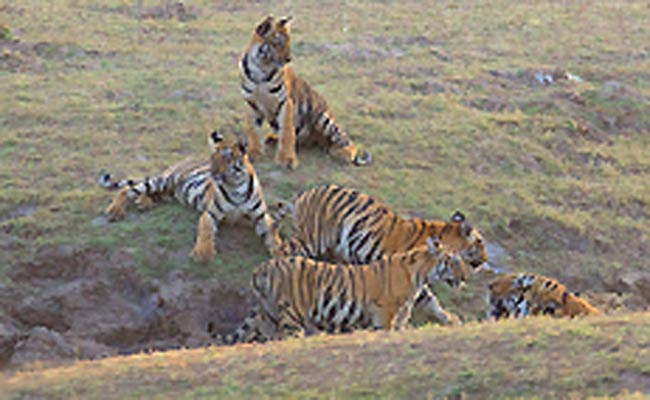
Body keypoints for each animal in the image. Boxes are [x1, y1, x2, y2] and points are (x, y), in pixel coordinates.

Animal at [98, 131, 281, 262]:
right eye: (212, 158)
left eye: (226, 158)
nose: (211, 172)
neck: (236, 186)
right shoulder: (210, 213)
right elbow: (206, 231)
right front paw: (203, 253)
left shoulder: (261, 215)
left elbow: (272, 232)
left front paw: (280, 250)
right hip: (162, 180)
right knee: (128, 188)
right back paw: (116, 210)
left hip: (168, 191)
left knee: (152, 194)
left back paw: (144, 202)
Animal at [222, 236, 468, 344]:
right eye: (454, 261)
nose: (466, 276)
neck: (420, 275)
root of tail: (263, 267)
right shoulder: (385, 313)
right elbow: (386, 330)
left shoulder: (402, 313)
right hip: (292, 314)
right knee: (287, 336)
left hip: (269, 312)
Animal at [239, 15, 371, 169]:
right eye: (278, 44)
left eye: (288, 42)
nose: (289, 58)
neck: (260, 67)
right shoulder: (252, 103)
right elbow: (253, 130)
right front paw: (254, 153)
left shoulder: (285, 102)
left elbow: (287, 132)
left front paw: (287, 159)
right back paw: (272, 139)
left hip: (323, 118)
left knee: (344, 139)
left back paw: (343, 153)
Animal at [271, 184, 488, 325]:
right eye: (480, 242)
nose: (486, 260)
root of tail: (305, 193)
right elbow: (428, 297)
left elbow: (430, 299)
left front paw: (448, 317)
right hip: (312, 237)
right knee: (281, 250)